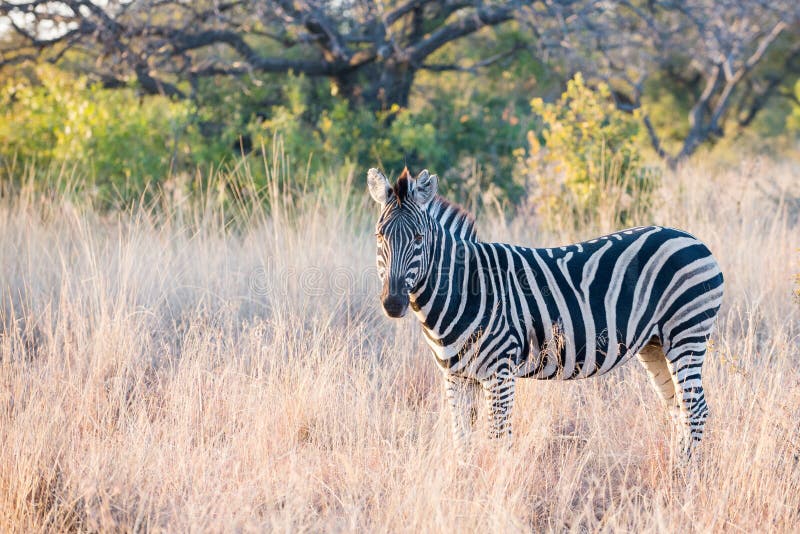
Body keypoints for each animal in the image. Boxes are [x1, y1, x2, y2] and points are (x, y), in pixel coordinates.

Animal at [367, 166, 724, 461]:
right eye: (379, 236)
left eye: (418, 238)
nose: (393, 303)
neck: (465, 287)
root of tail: (693, 240)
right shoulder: (456, 376)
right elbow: (463, 440)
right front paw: (466, 483)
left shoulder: (500, 371)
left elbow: (499, 439)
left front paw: (497, 487)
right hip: (655, 344)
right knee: (678, 408)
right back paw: (675, 470)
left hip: (686, 333)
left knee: (696, 409)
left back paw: (686, 480)